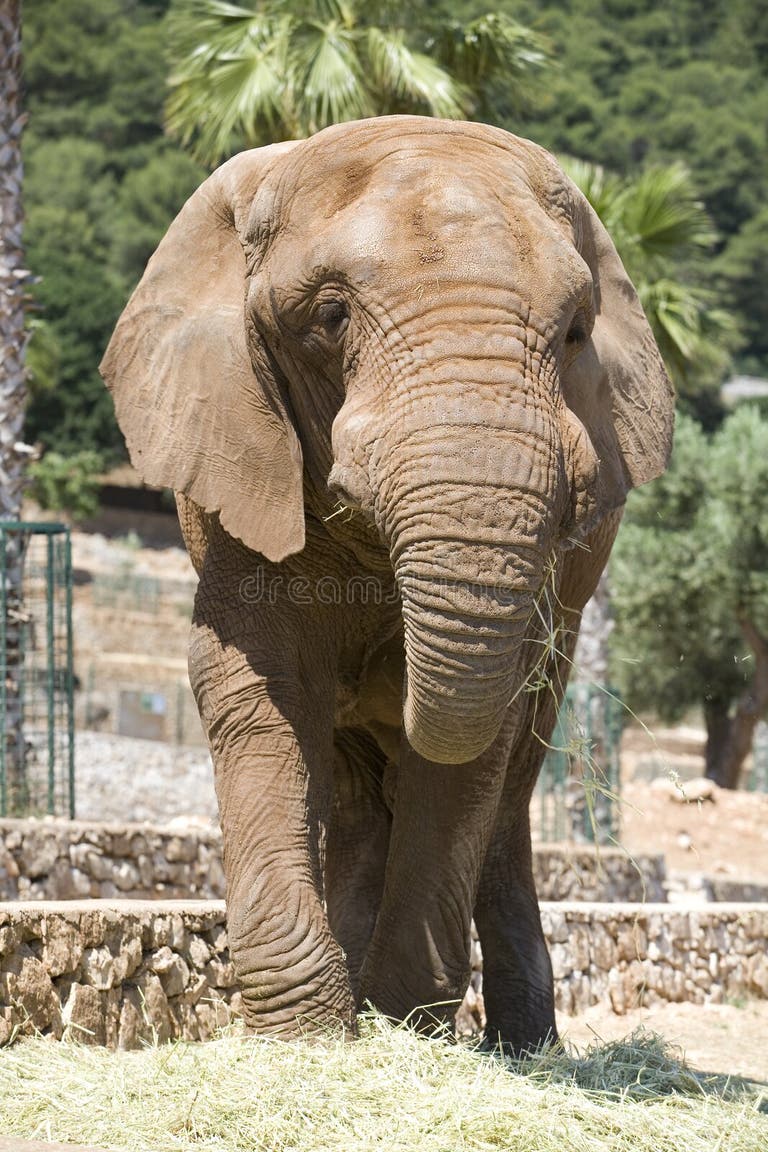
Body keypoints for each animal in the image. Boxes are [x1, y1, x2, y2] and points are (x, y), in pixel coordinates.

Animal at [100, 115, 674, 1052]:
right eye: (330, 317)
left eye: (576, 332)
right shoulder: (240, 457)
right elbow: (257, 686)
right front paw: (311, 1035)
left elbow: (475, 748)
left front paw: (402, 1021)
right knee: (360, 786)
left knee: (508, 789)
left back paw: (521, 1044)